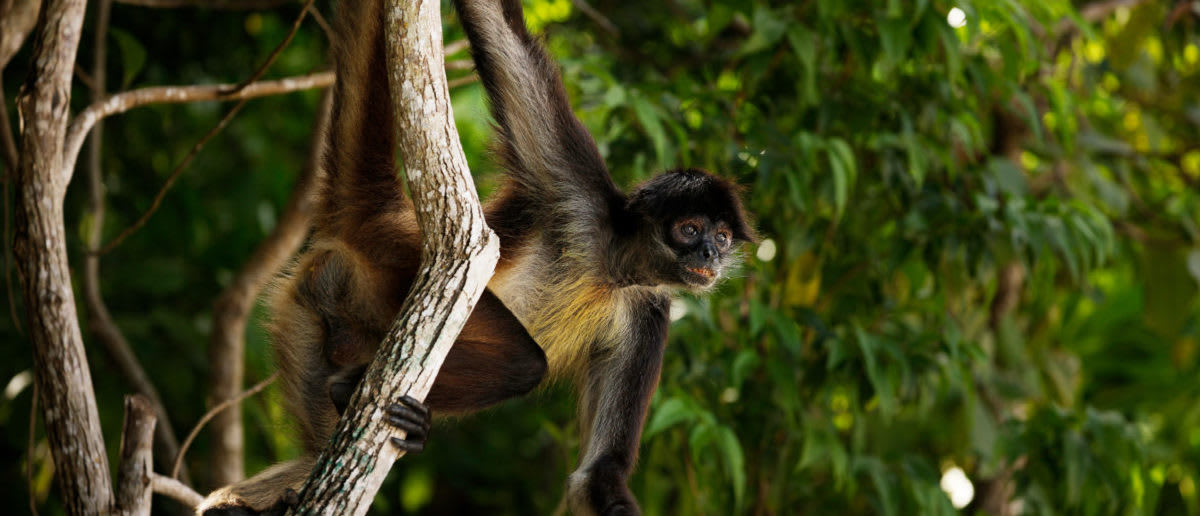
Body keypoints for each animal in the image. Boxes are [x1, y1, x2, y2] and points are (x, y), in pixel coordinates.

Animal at [198, 0, 754, 513]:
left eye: (723, 236)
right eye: (689, 229)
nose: (709, 253)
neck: (610, 268)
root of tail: (388, 222)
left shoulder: (649, 312)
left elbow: (597, 474)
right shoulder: (578, 194)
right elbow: (498, 28)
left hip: (312, 310)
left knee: (319, 449)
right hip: (390, 274)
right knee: (520, 361)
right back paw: (350, 389)